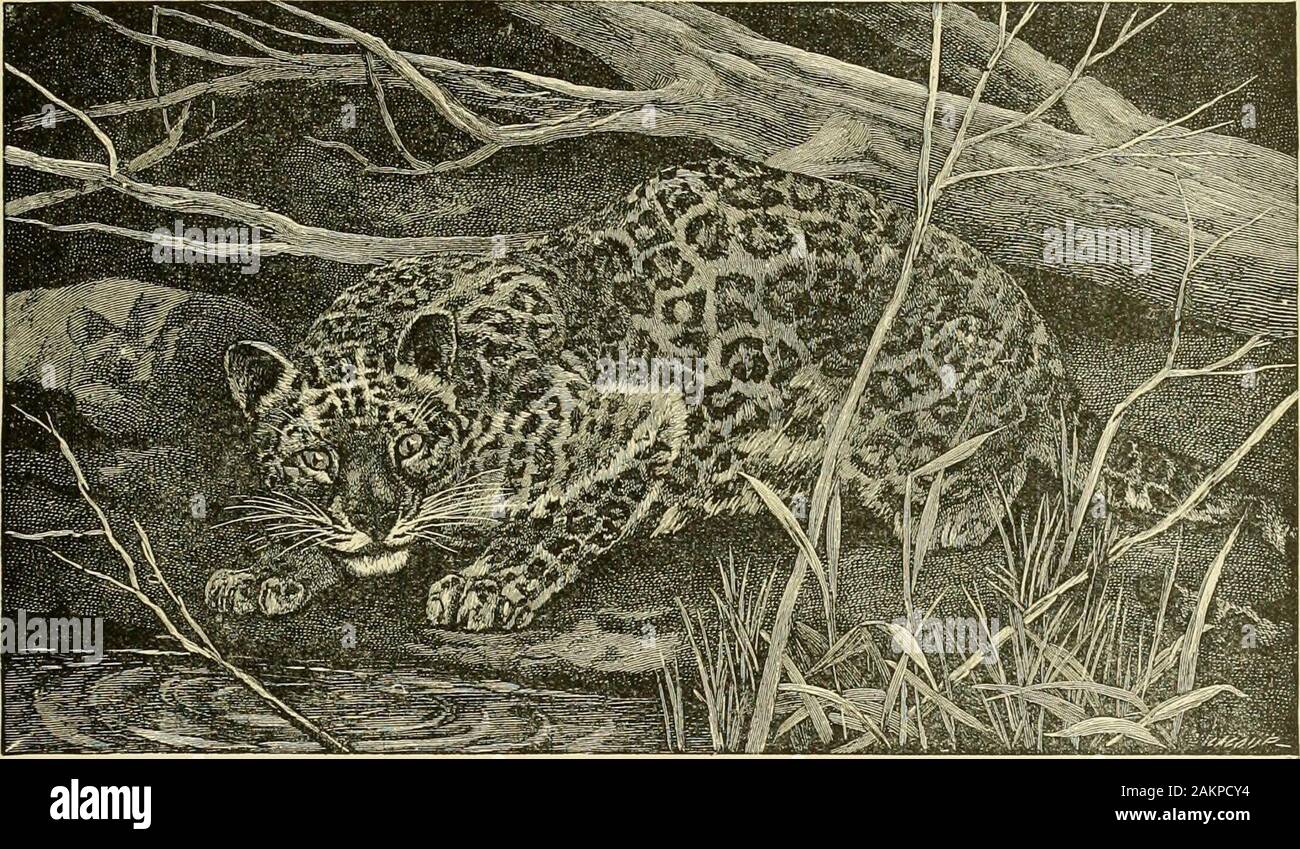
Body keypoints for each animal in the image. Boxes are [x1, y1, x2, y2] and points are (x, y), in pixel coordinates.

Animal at [204, 158, 1287, 631]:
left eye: (408, 445)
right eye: (318, 455)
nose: (377, 519)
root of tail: (1046, 354)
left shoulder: (672, 418)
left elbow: (572, 513)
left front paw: (488, 579)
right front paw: (264, 568)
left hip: (915, 416)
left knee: (1004, 469)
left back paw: (945, 507)